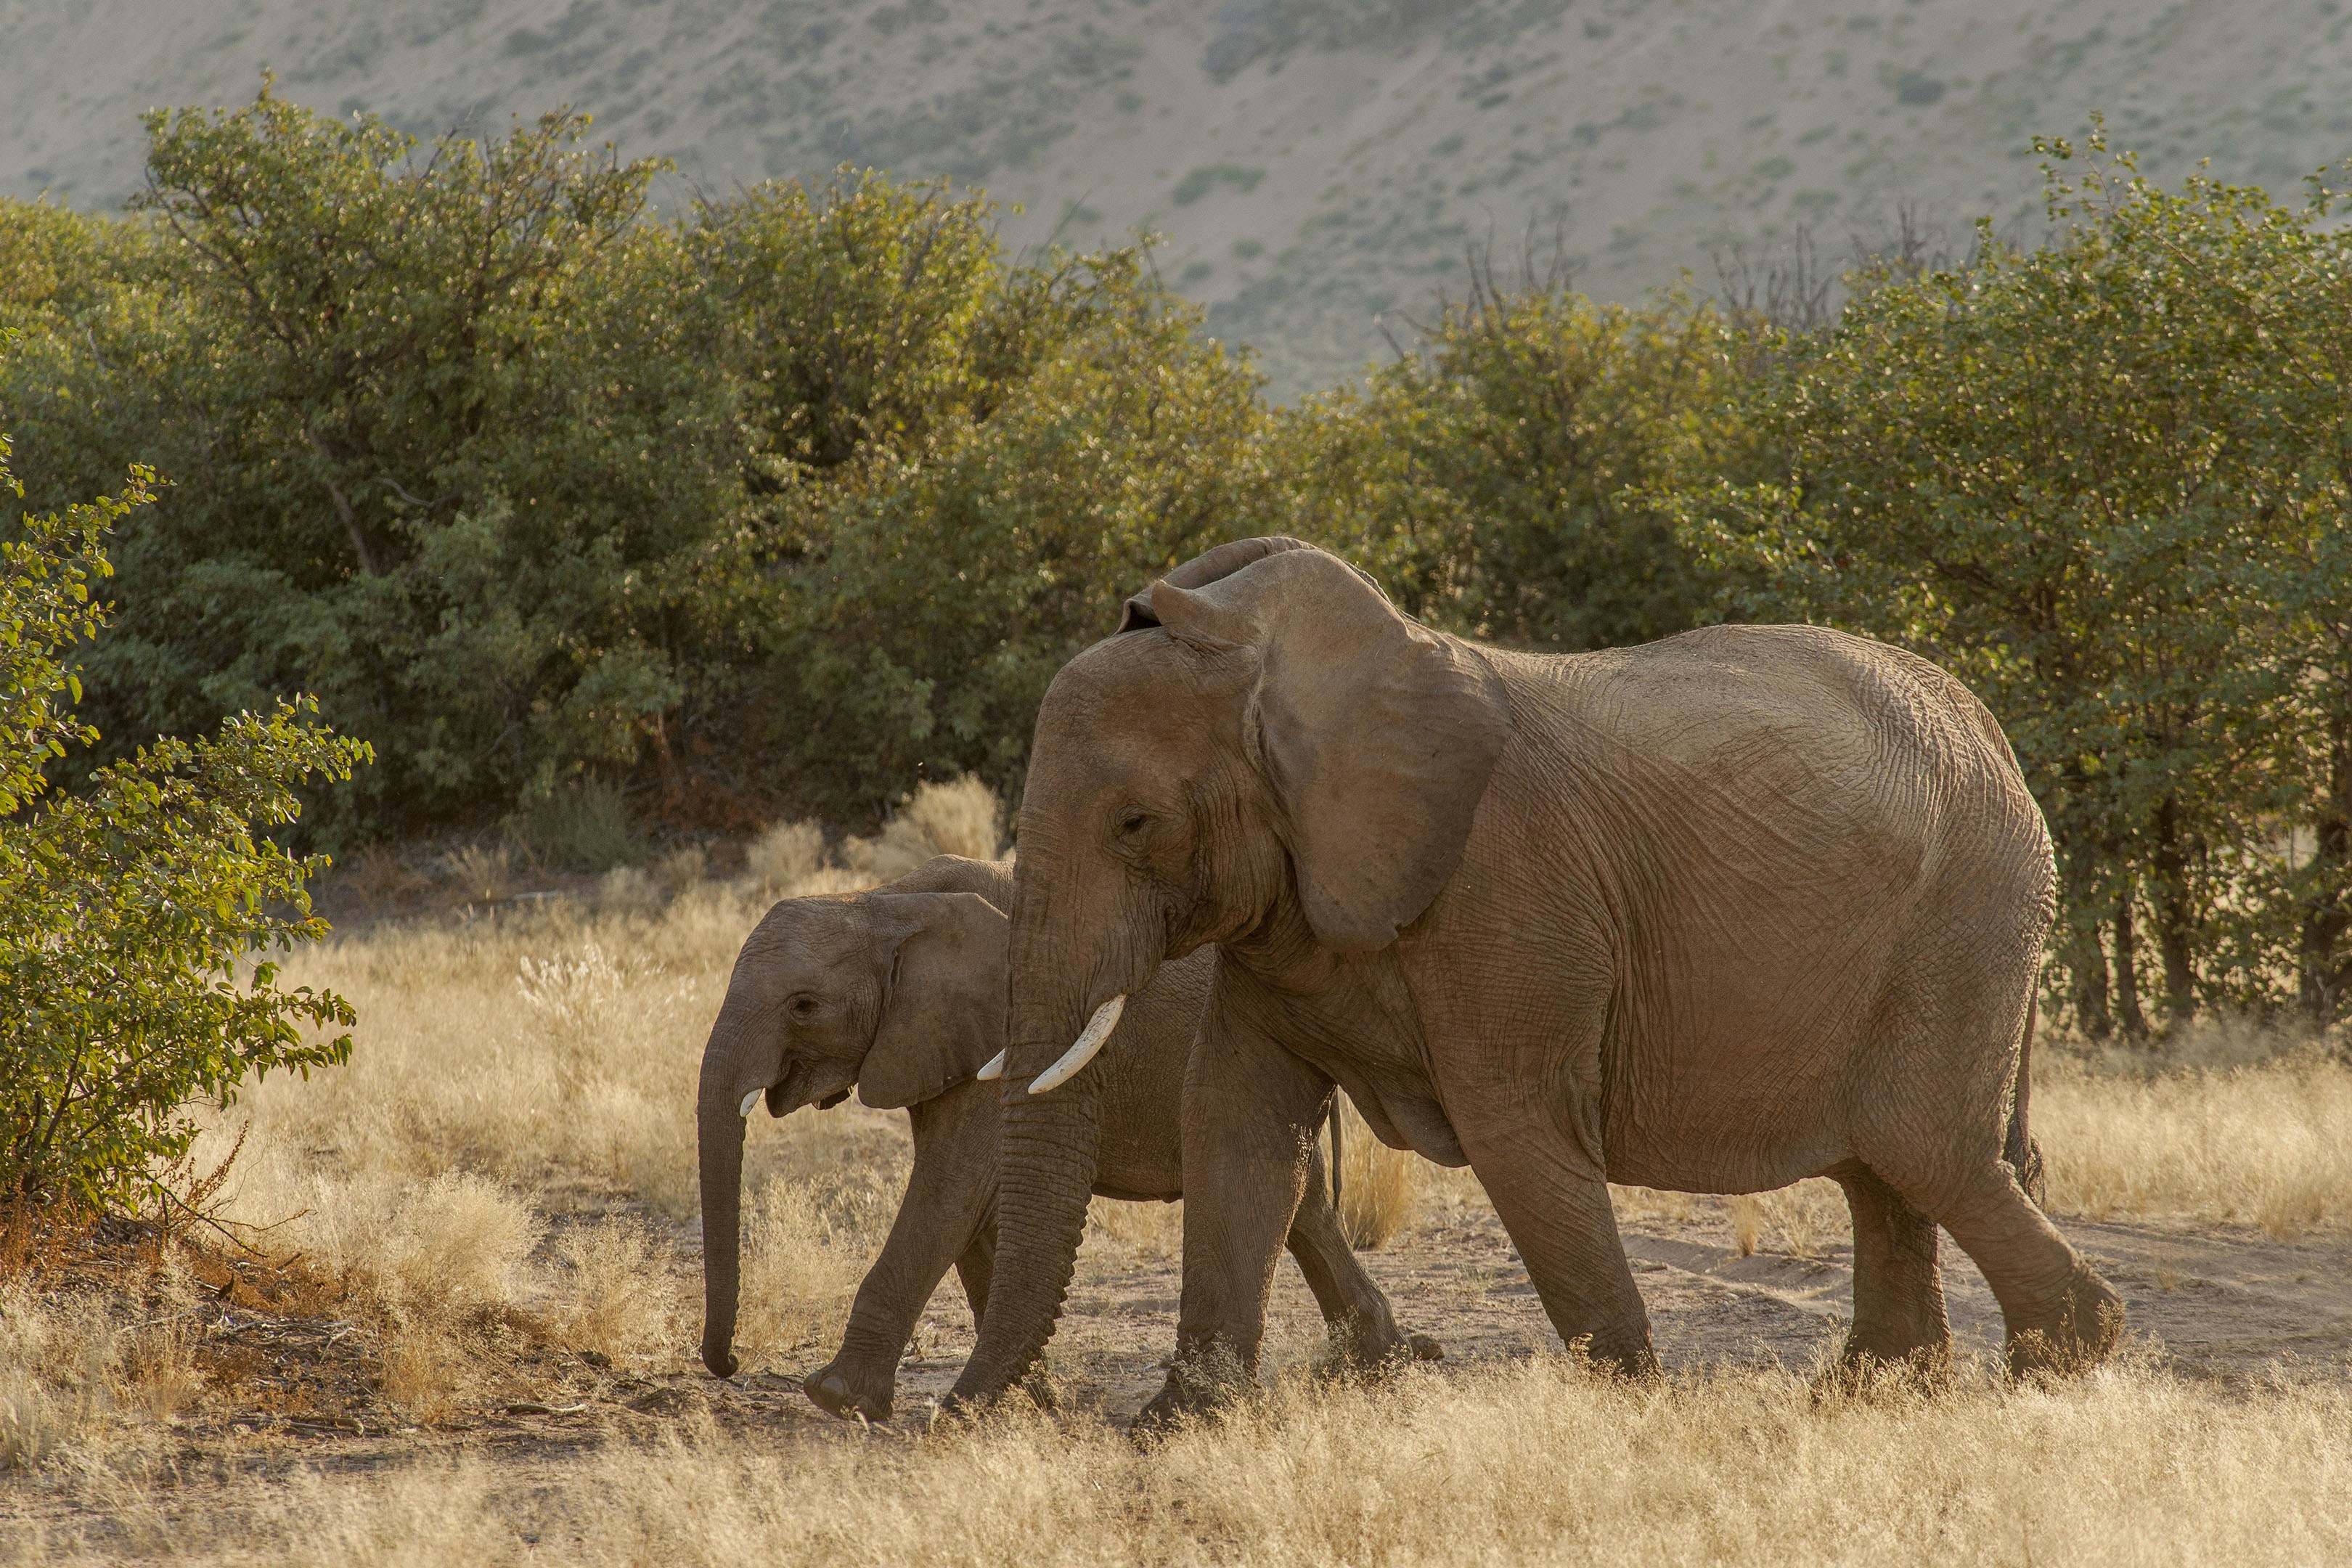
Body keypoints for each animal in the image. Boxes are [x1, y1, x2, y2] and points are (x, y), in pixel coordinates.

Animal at [695, 851, 1437, 1421]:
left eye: (804, 1006)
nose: (729, 1363)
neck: (883, 900)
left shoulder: (994, 1029)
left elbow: (951, 1186)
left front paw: (836, 1399)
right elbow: (973, 1208)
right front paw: (1033, 1400)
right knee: (1304, 1207)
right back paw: (1384, 1365)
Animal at [946, 536, 2122, 1422]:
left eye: (1135, 824)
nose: (957, 1411)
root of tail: (1989, 730)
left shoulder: (1510, 895)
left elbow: (1519, 1135)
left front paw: (1633, 1413)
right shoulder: (1290, 902)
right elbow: (1235, 1125)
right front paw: (1177, 1427)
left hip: (1965, 921)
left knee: (1925, 1150)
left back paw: (2059, 1370)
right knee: (1886, 1169)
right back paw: (1880, 1396)